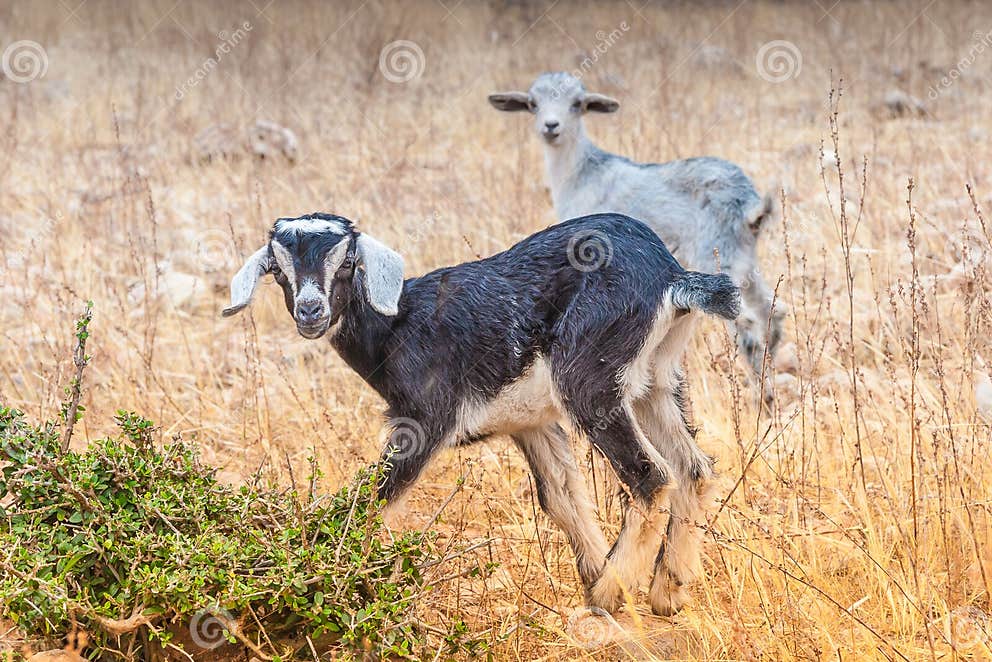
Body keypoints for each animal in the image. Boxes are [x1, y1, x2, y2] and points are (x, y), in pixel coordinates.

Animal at [224, 212, 740, 616]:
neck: (398, 323)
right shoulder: (531, 423)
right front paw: (594, 575)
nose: (311, 311)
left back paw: (609, 596)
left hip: (590, 384)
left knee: (652, 477)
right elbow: (561, 498)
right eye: (278, 270)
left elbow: (374, 499)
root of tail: (670, 278)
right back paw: (665, 593)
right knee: (694, 469)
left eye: (348, 262)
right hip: (655, 383)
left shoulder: (425, 422)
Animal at [489, 72, 782, 383]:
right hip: (745, 262)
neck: (582, 173)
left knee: (747, 321)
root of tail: (750, 205)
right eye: (533, 104)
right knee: (772, 312)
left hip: (717, 255)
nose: (551, 126)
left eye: (577, 104)